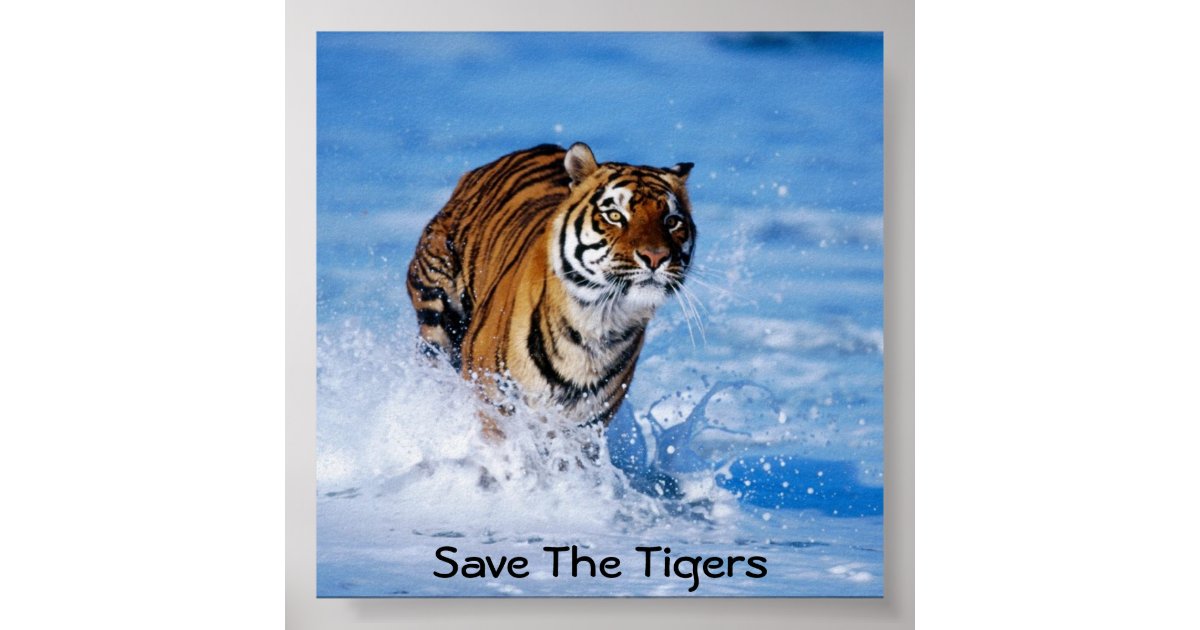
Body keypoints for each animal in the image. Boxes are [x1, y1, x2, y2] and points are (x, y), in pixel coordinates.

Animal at [406, 142, 695, 439]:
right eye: (615, 215)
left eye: (672, 221)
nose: (656, 256)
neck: (598, 323)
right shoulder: (494, 404)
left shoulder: (585, 427)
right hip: (437, 315)